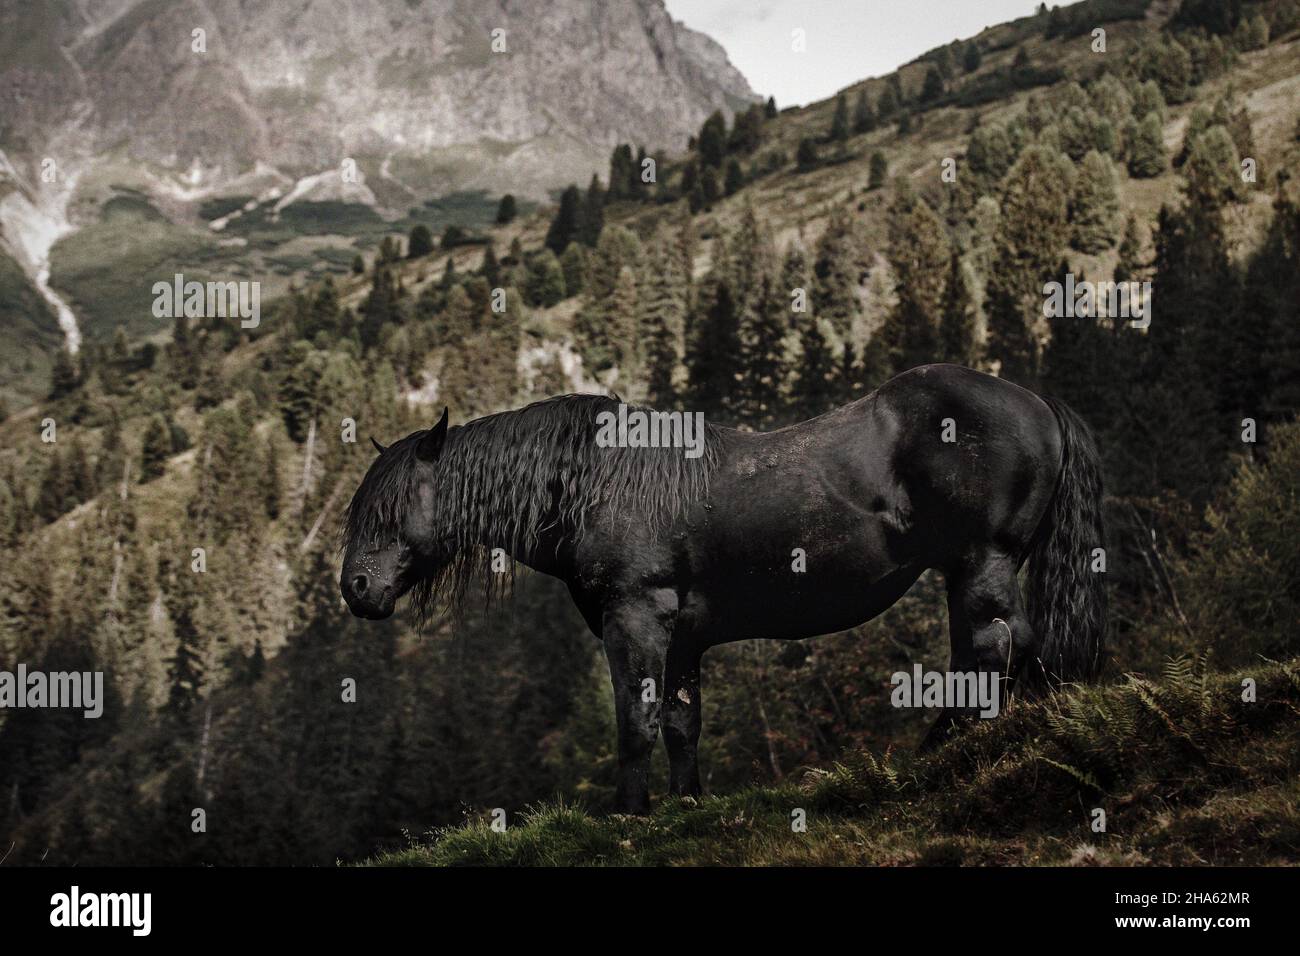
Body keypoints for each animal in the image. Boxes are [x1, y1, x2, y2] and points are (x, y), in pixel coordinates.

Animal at [340, 364, 1106, 814]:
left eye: (391, 506)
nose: (356, 588)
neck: (596, 485)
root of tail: (1036, 401)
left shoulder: (636, 617)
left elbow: (637, 720)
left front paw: (628, 816)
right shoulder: (682, 638)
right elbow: (682, 724)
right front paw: (683, 809)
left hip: (982, 563)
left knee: (989, 649)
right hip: (971, 571)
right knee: (1000, 649)